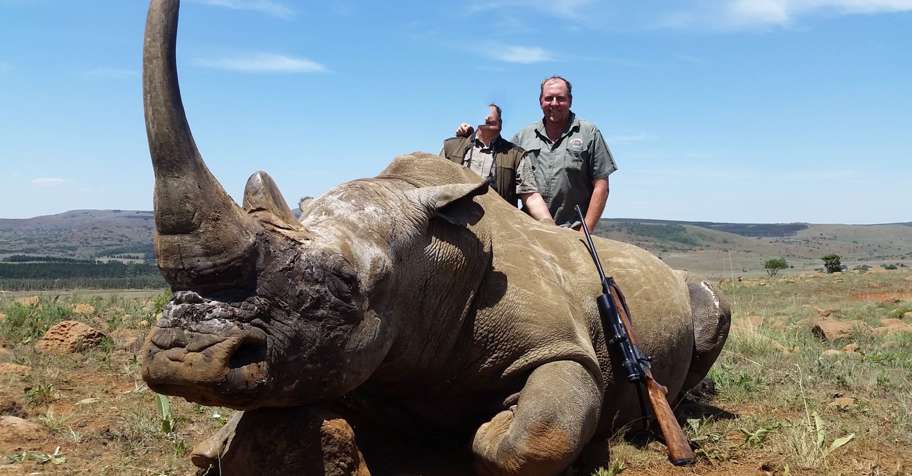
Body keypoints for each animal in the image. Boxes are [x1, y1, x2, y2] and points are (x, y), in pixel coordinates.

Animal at [140, 1, 730, 474]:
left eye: (344, 285)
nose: (183, 358)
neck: (432, 258)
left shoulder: (563, 346)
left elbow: (534, 434)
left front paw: (485, 428)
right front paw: (215, 445)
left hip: (685, 288)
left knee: (711, 307)